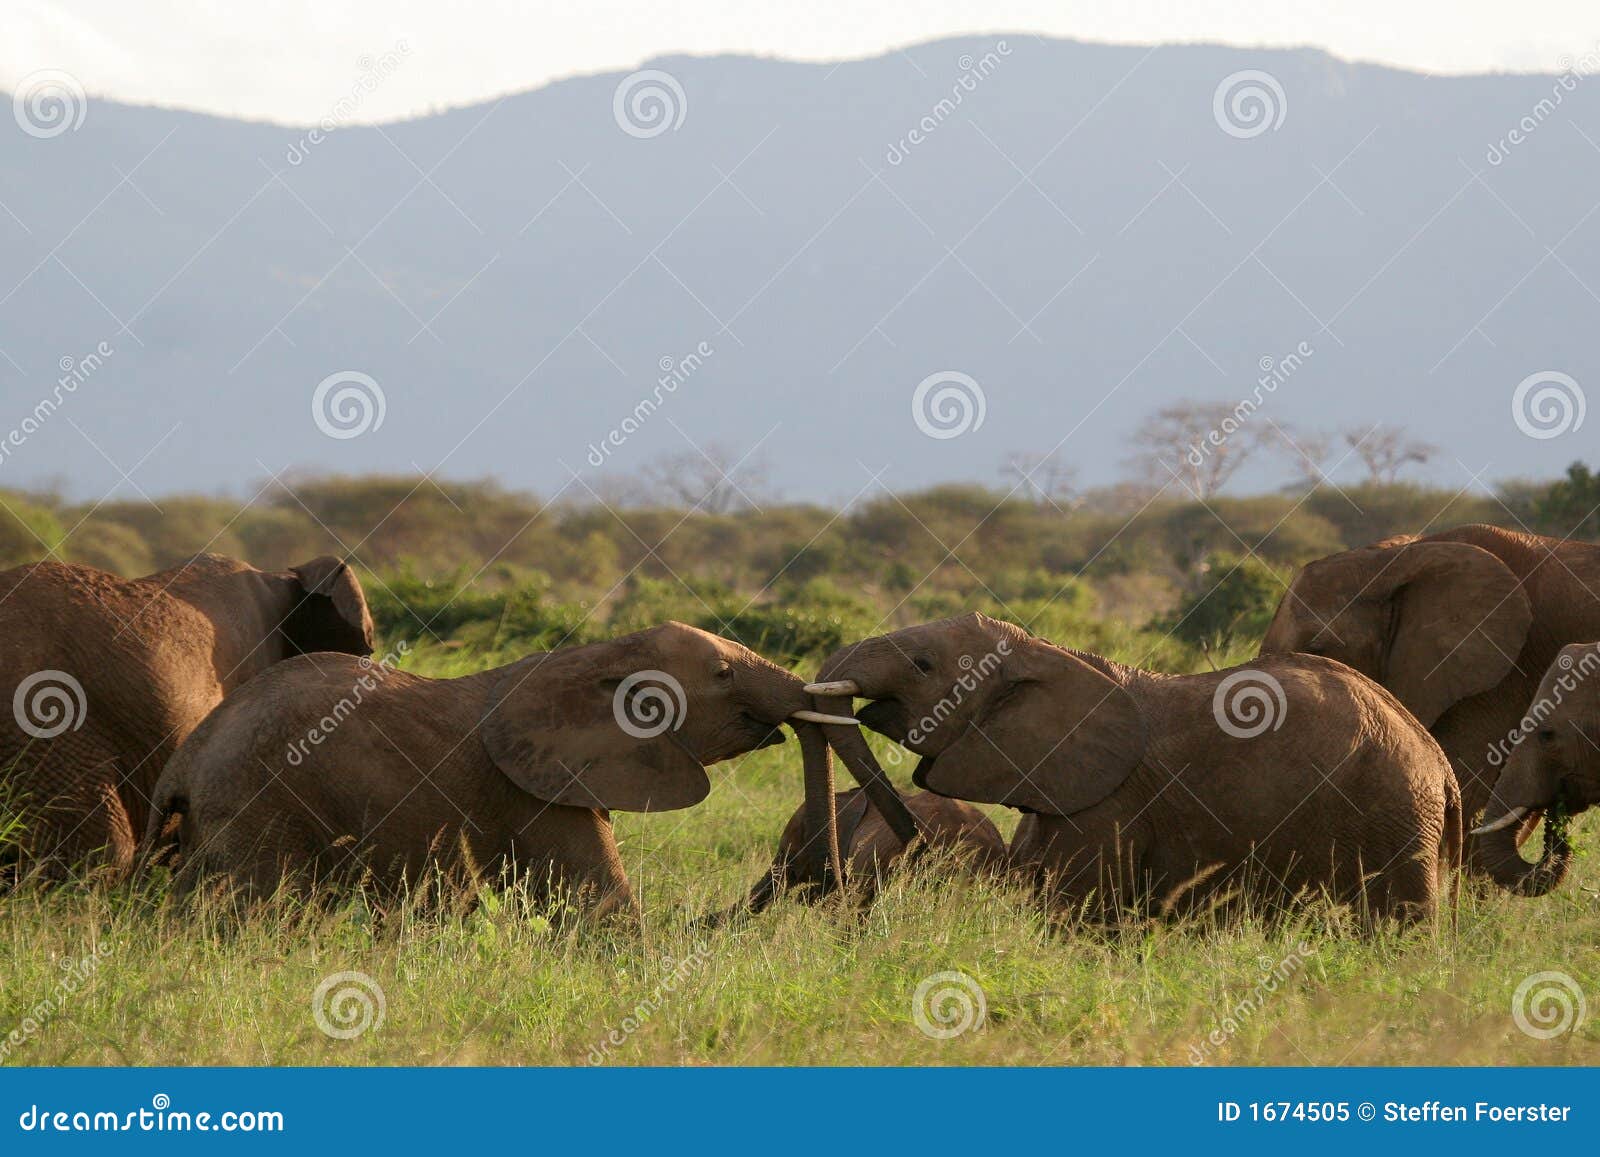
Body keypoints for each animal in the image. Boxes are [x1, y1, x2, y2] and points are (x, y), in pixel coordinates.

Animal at [139, 622, 898, 917]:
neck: (598, 653)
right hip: (258, 813)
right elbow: (602, 909)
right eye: (721, 673)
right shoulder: (536, 791)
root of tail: (183, 764)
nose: (825, 885)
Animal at [804, 613, 1461, 924]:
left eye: (922, 664)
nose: (917, 842)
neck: (1044, 652)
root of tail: (1440, 766)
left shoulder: (1111, 801)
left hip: (1394, 815)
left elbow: (1079, 916)